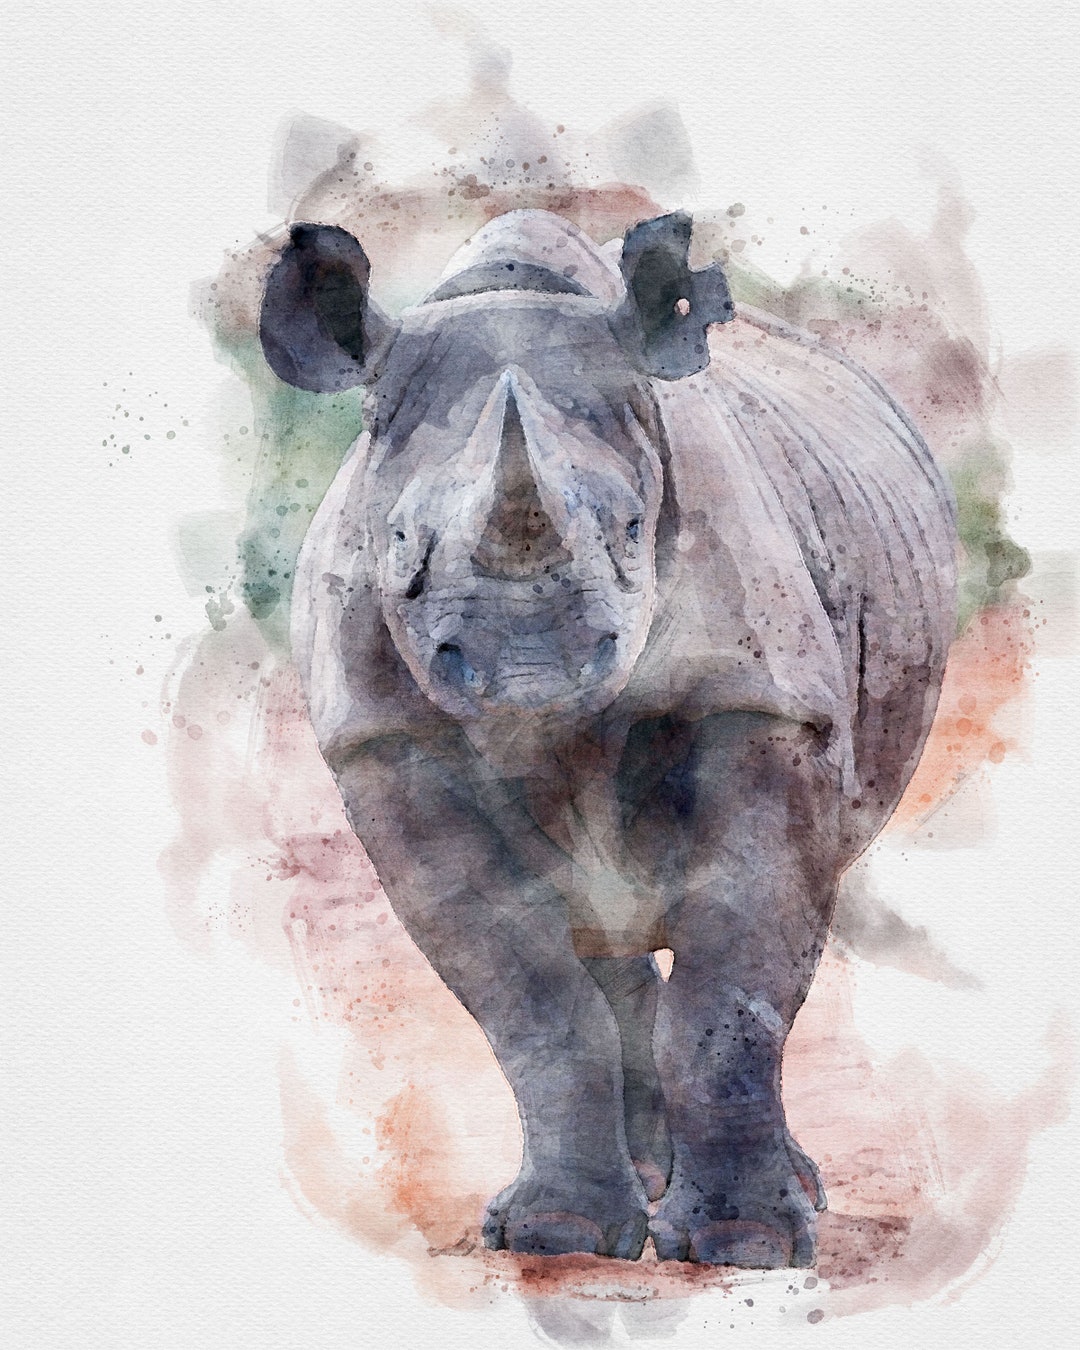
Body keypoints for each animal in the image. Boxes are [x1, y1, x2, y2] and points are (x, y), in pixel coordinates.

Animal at [258, 208, 957, 1267]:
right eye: (398, 546)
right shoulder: (385, 743)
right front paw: (559, 1234)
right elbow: (534, 1003)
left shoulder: (760, 702)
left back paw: (781, 1194)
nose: (530, 673)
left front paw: (747, 1247)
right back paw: (635, 1192)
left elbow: (731, 987)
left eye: (632, 530)